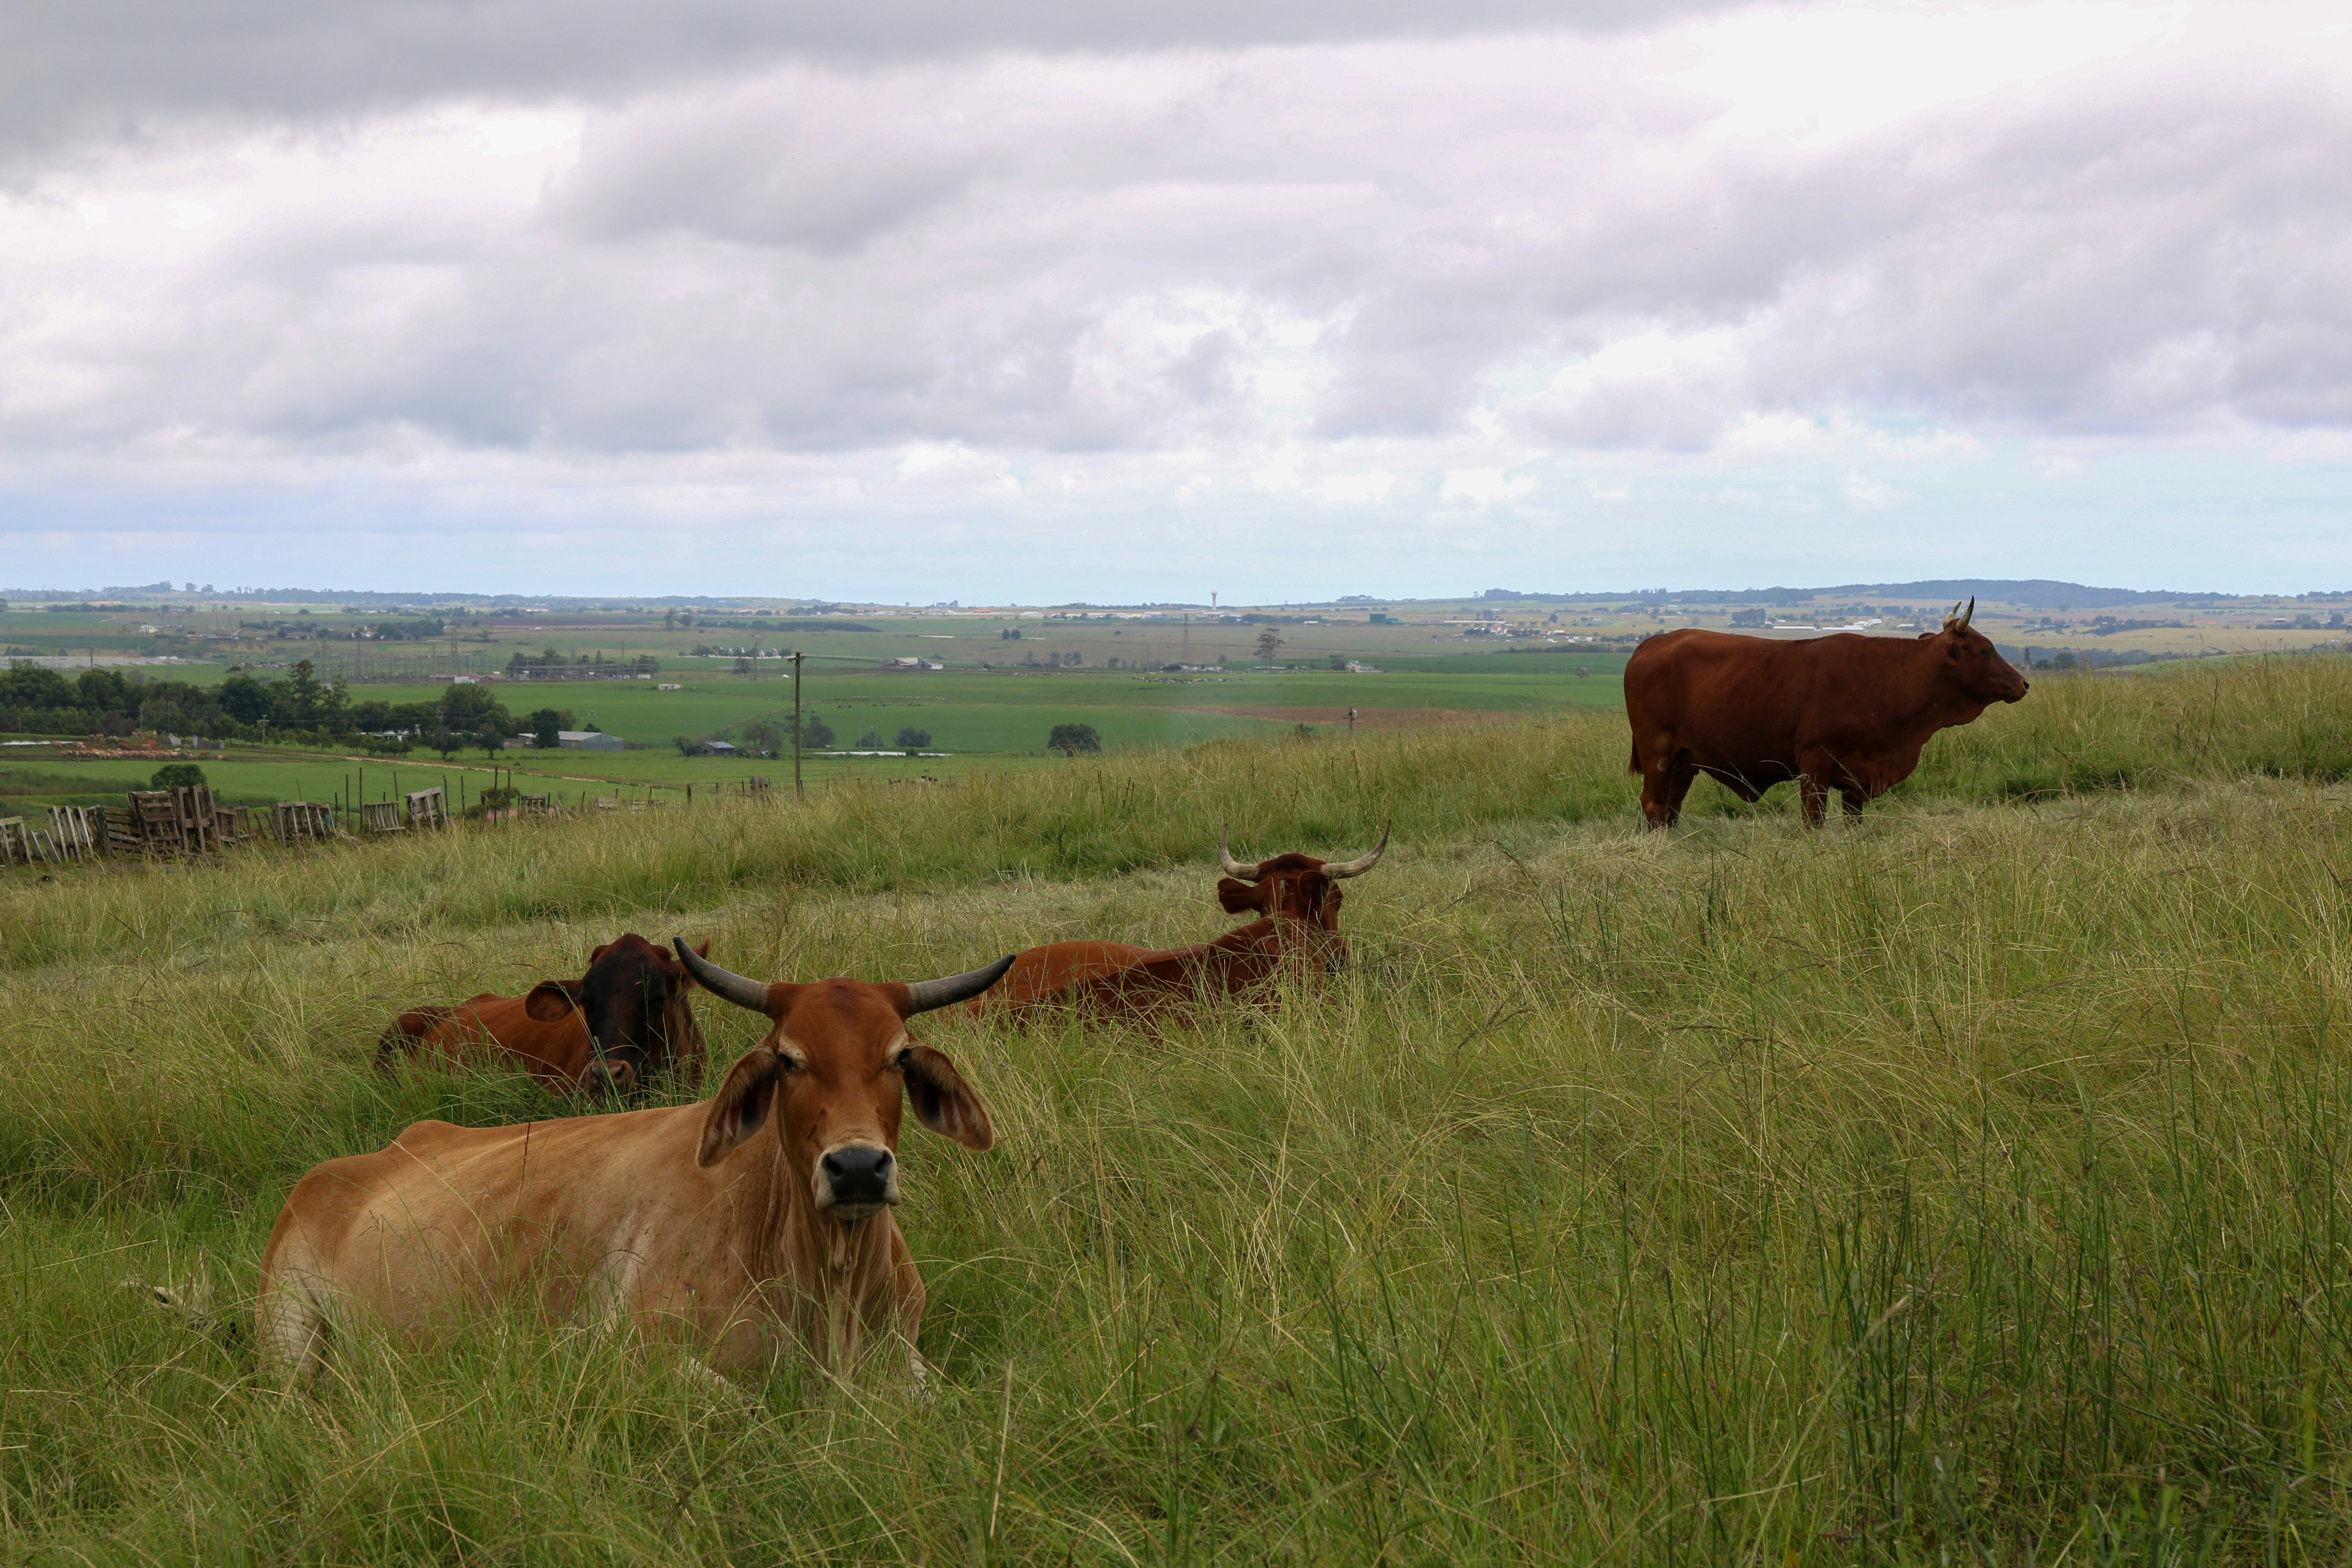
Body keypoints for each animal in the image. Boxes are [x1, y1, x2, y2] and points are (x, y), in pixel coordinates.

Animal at [1624, 598, 2029, 829]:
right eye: (1987, 650)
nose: (2024, 684)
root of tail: (1654, 641)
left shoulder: (1859, 780)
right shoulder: (1815, 764)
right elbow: (1814, 821)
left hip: (1685, 761)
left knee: (1671, 808)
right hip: (1657, 753)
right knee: (1654, 806)